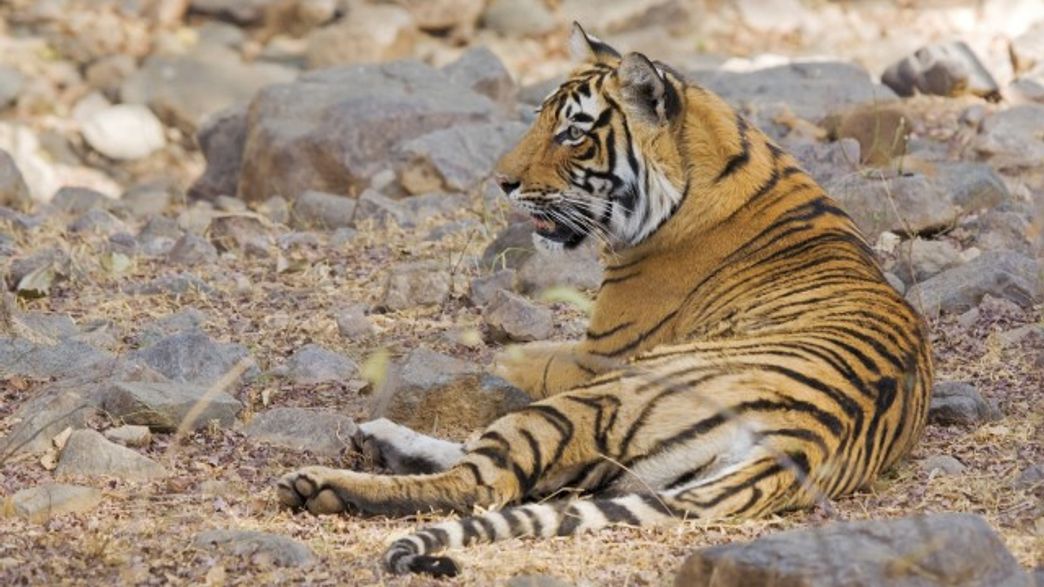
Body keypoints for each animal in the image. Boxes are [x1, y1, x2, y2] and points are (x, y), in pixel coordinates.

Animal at [276, 23, 933, 577]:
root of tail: (803, 441)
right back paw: (376, 438)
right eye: (540, 120)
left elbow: (511, 357)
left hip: (601, 396)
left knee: (483, 483)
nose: (502, 182)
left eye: (572, 132)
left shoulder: (597, 355)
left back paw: (322, 484)